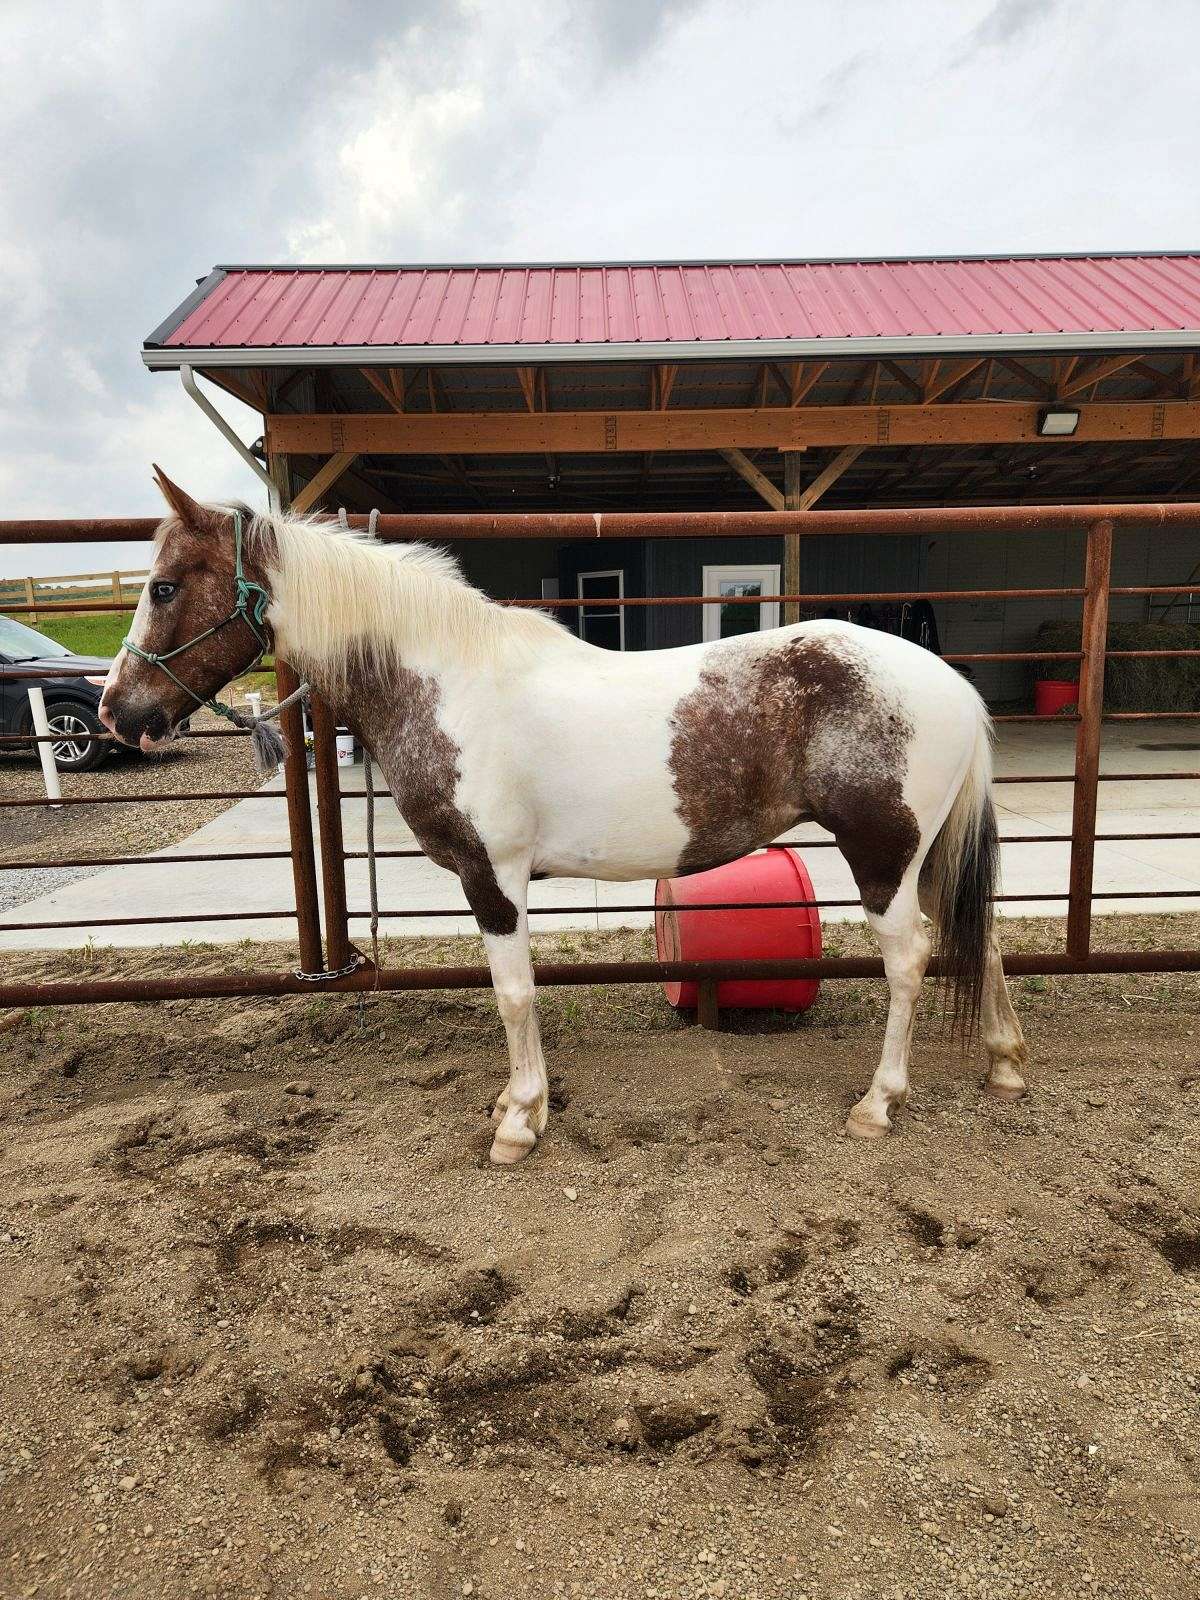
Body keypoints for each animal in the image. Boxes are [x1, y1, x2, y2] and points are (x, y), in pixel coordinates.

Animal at [100, 469, 1029, 1164]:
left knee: (910, 959)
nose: (117, 713)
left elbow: (513, 995)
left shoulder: (494, 877)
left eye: (164, 586)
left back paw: (879, 1103)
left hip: (882, 856)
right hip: (925, 856)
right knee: (977, 938)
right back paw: (1005, 1065)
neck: (445, 681)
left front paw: (520, 1119)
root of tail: (951, 684)